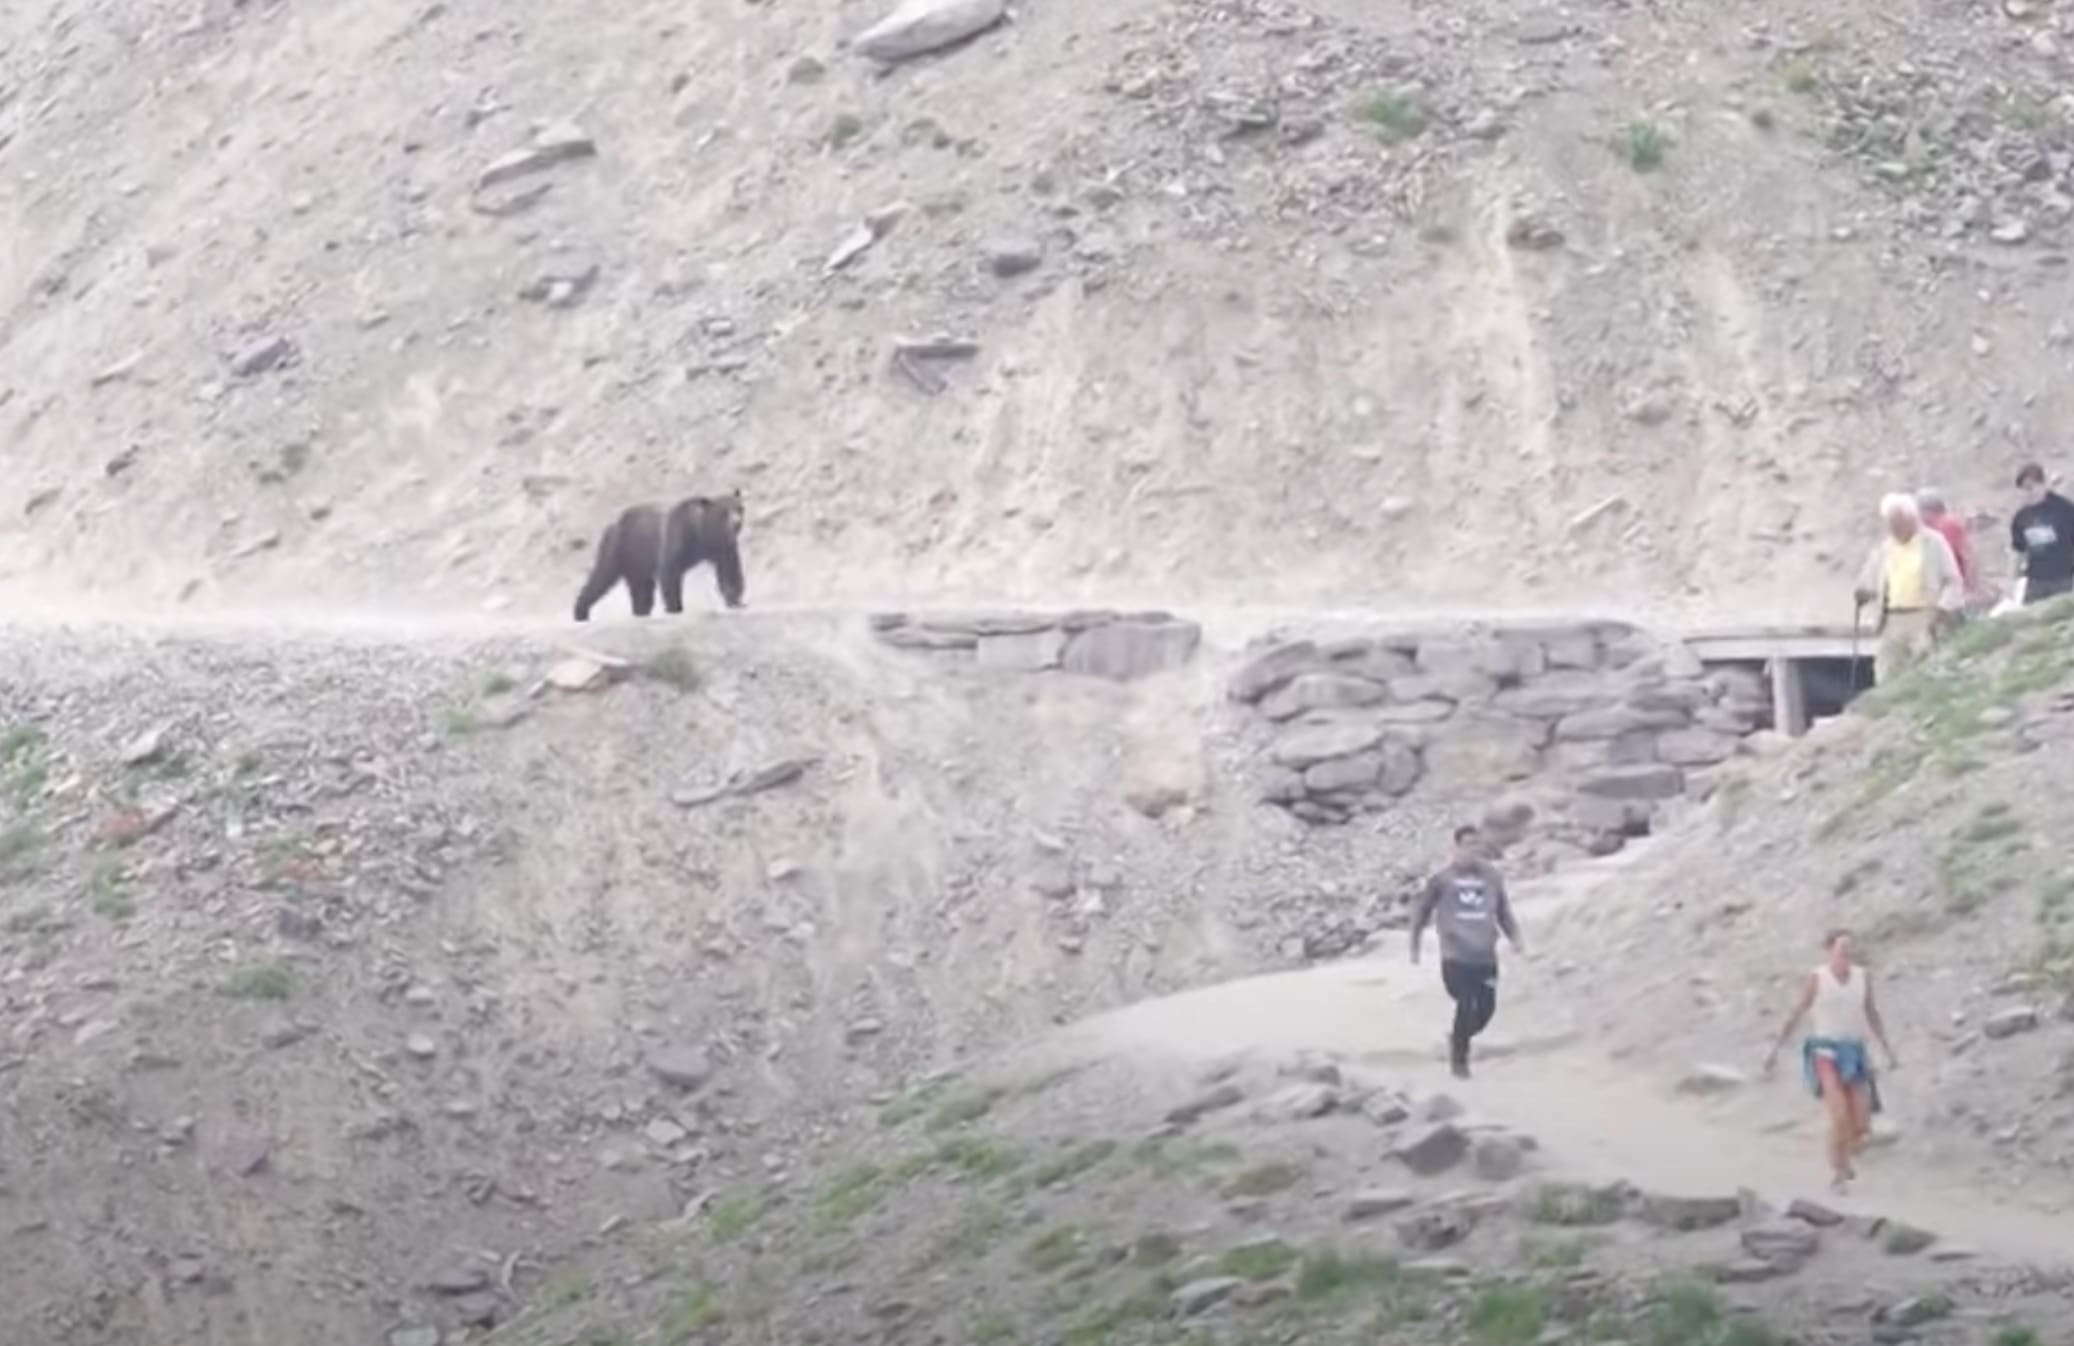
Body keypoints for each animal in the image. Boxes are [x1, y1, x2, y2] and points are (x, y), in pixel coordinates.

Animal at [572, 488, 746, 622]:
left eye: (739, 508)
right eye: (723, 512)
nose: (736, 523)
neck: (702, 535)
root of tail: (613, 523)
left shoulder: (723, 547)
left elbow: (730, 571)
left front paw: (736, 601)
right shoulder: (677, 537)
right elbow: (670, 572)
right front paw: (675, 607)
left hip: (637, 561)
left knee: (642, 589)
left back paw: (640, 611)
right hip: (619, 548)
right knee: (601, 576)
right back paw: (580, 612)